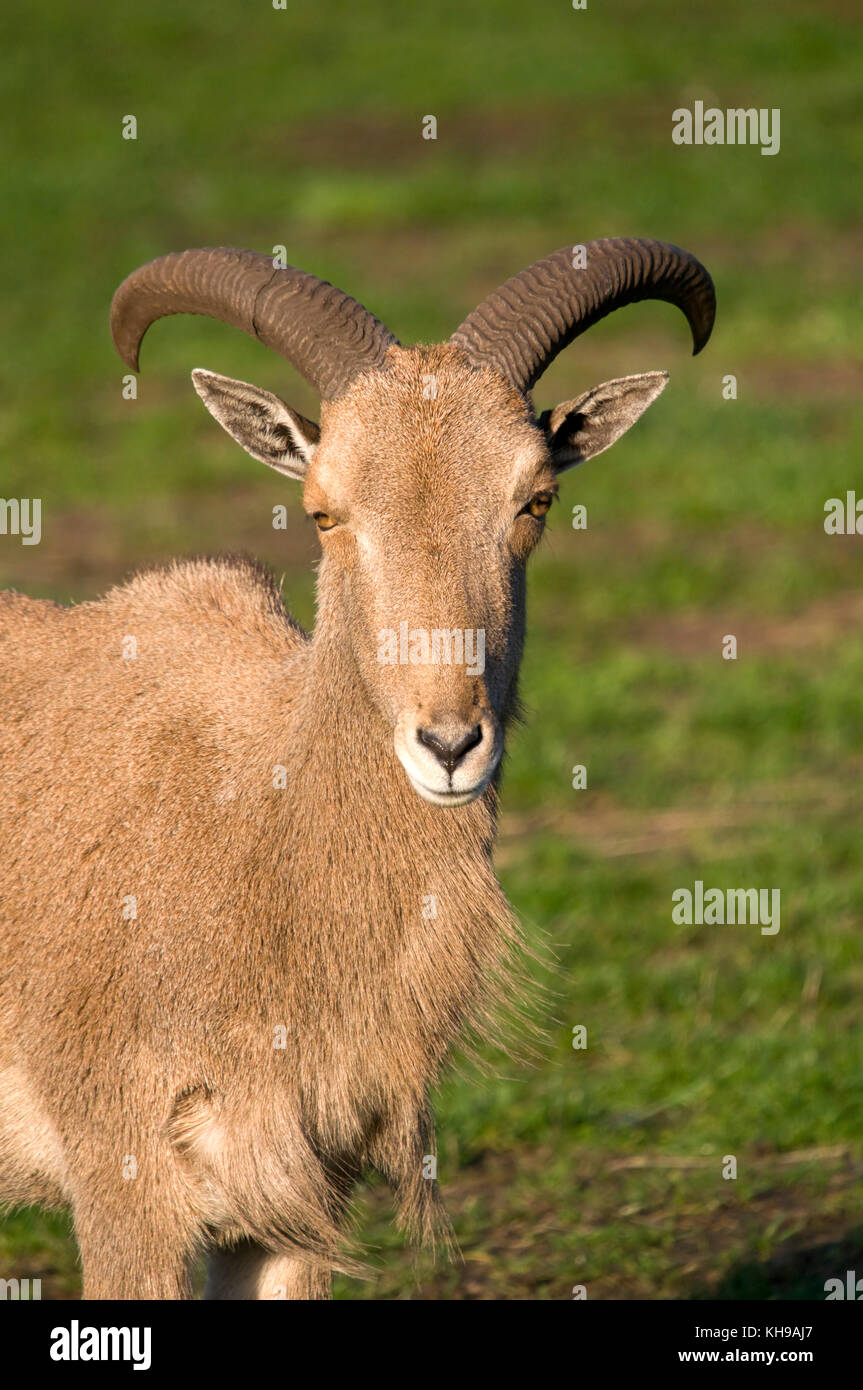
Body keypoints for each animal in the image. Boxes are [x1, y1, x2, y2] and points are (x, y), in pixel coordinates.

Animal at [0, 239, 715, 1299]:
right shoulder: (123, 1180)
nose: (449, 746)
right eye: (323, 511)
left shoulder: (293, 1206)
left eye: (535, 499)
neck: (250, 825)